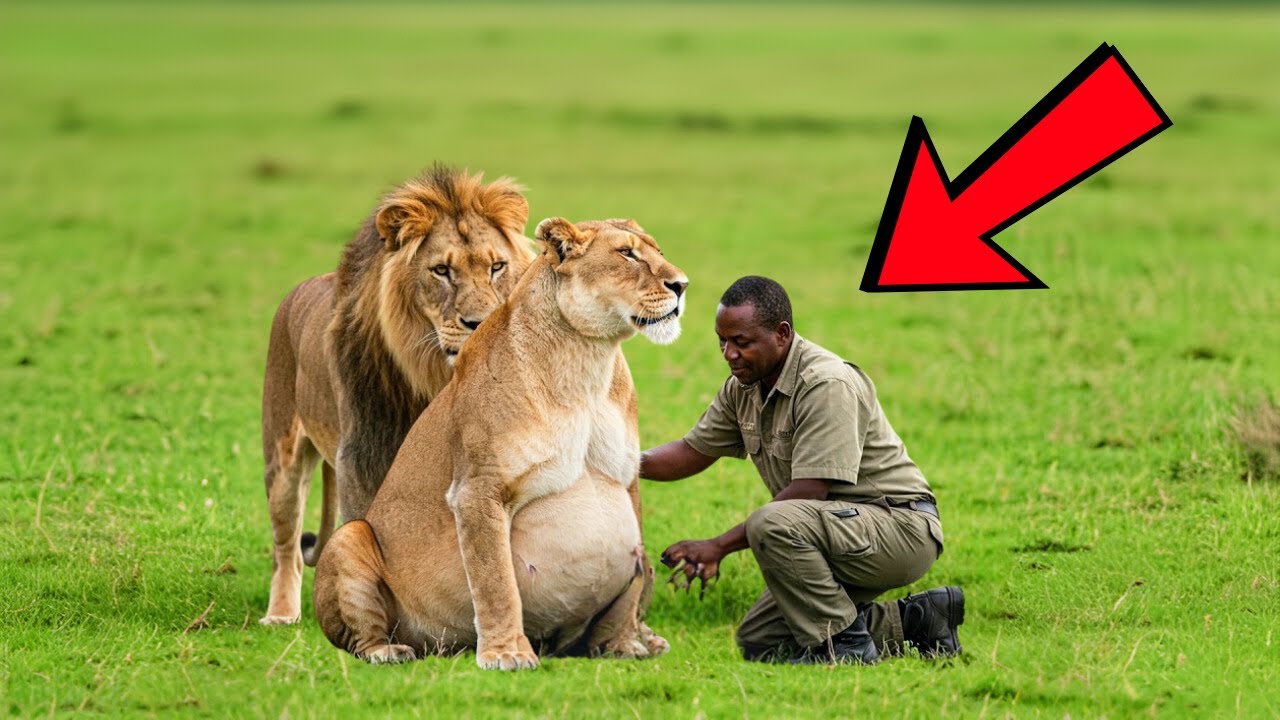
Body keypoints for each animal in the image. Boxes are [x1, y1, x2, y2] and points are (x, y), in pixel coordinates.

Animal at [260, 166, 536, 625]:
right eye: (441, 270)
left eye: (497, 266)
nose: (481, 322)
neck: (436, 379)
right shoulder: (364, 455)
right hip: (281, 456)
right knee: (288, 547)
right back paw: (281, 613)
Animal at [313, 216, 687, 668]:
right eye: (627, 254)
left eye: (657, 250)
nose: (682, 285)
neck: (589, 359)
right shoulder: (478, 490)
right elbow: (496, 583)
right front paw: (506, 653)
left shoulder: (628, 482)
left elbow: (635, 571)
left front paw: (621, 644)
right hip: (351, 536)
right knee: (359, 638)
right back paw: (389, 651)